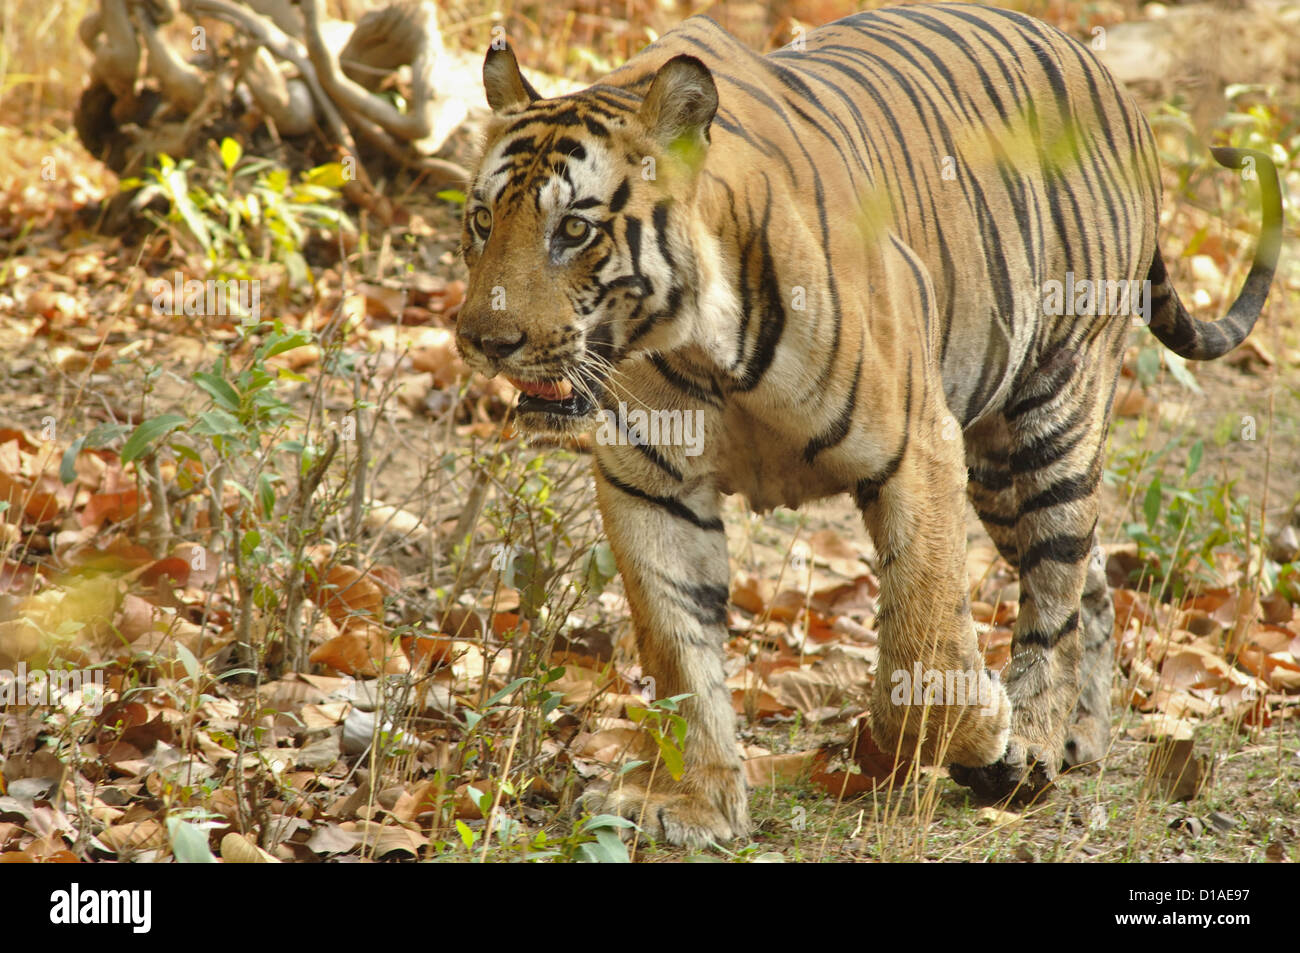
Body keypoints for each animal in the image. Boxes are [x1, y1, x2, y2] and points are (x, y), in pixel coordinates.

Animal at [453, 2, 1282, 847]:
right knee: (1092, 574)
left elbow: (923, 649)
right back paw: (1078, 734)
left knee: (1053, 582)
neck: (694, 342)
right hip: (995, 468)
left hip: (1055, 407)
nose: (483, 339)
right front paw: (697, 804)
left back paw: (1033, 739)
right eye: (482, 221)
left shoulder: (916, 449)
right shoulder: (651, 484)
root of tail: (1110, 76)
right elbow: (679, 651)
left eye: (574, 231)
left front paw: (986, 733)